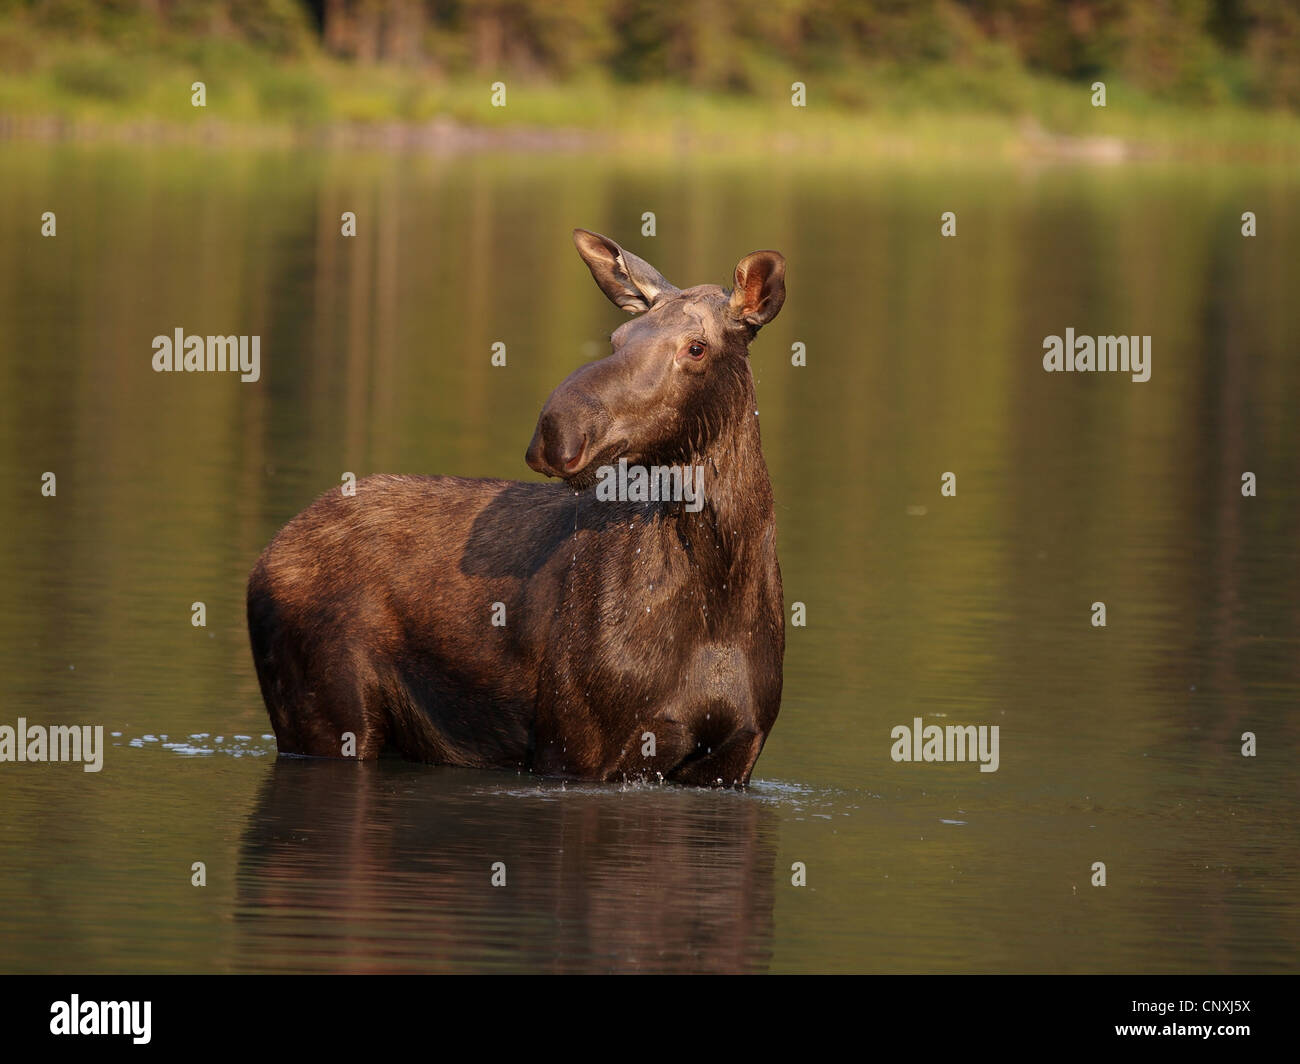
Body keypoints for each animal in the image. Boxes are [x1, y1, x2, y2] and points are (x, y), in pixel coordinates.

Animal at [248, 227, 785, 785]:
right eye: (618, 338)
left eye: (696, 348)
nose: (557, 431)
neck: (719, 593)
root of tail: (267, 555)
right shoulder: (573, 745)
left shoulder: (736, 755)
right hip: (325, 716)